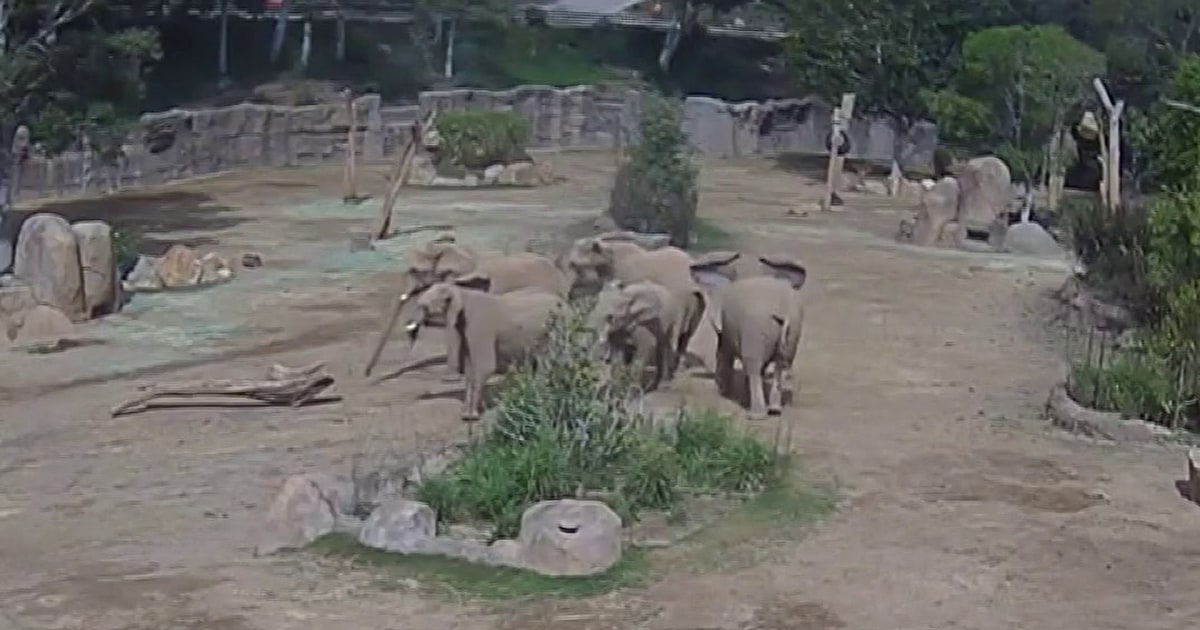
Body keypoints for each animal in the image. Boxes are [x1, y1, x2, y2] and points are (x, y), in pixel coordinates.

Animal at [403, 281, 565, 421]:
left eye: (423, 307)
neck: (461, 291)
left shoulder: (479, 325)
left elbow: (484, 366)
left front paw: (472, 417)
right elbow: (470, 371)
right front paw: (465, 415)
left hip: (557, 328)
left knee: (548, 360)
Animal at [708, 275, 805, 419]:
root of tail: (784, 311)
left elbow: (726, 356)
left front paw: (722, 391)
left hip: (756, 326)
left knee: (753, 365)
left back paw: (755, 416)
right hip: (793, 329)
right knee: (781, 365)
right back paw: (774, 411)